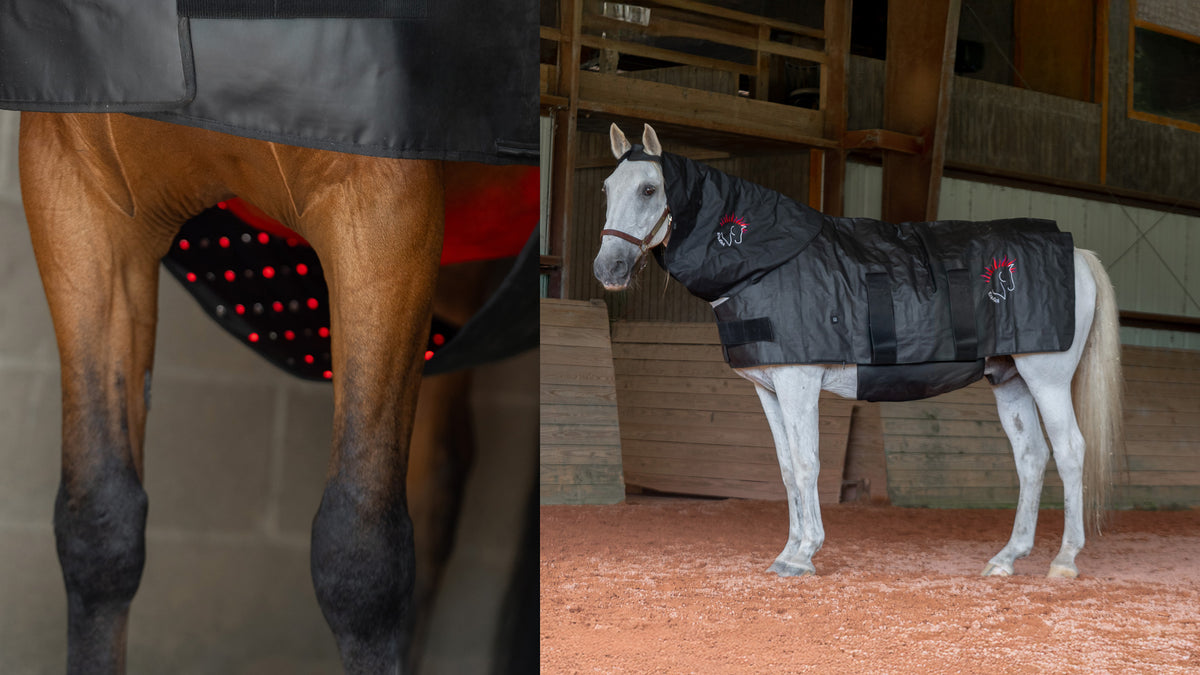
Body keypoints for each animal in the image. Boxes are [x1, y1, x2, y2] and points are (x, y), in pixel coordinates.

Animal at [593, 123, 1122, 580]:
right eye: (606, 189)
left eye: (648, 190)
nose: (608, 269)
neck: (766, 260)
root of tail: (1076, 253)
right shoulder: (768, 389)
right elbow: (786, 470)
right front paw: (787, 551)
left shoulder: (799, 381)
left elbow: (807, 463)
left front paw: (803, 555)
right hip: (1009, 380)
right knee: (1031, 457)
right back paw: (1007, 558)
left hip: (1046, 378)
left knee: (1070, 451)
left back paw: (1064, 561)